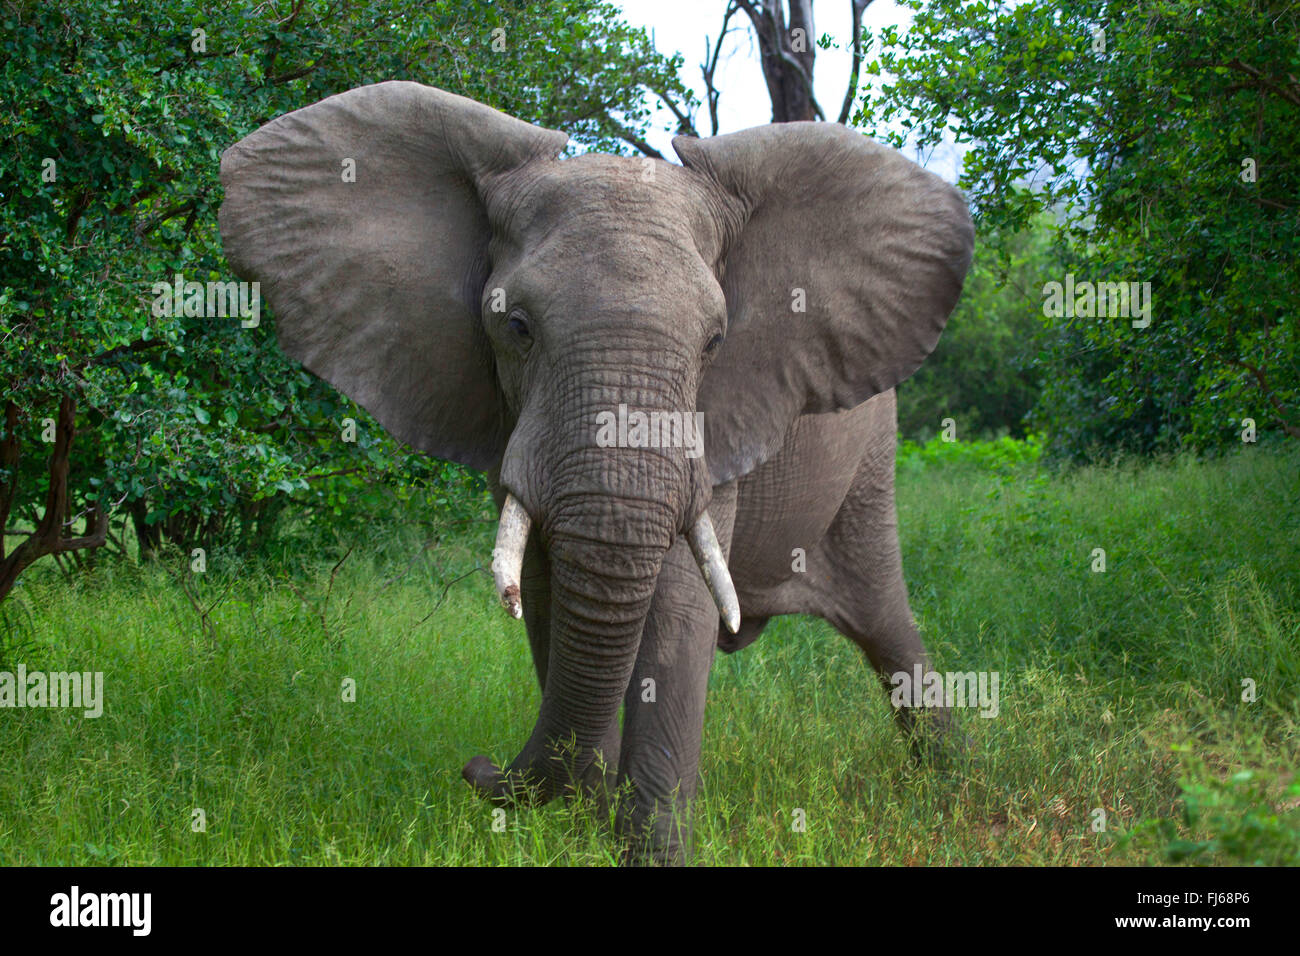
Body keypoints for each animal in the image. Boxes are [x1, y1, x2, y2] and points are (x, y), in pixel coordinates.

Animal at [218, 81, 974, 865]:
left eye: (716, 342)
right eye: (515, 327)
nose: (475, 767)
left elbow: (676, 606)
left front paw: (648, 850)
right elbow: (549, 590)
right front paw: (583, 824)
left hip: (871, 461)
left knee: (884, 618)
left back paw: (951, 786)